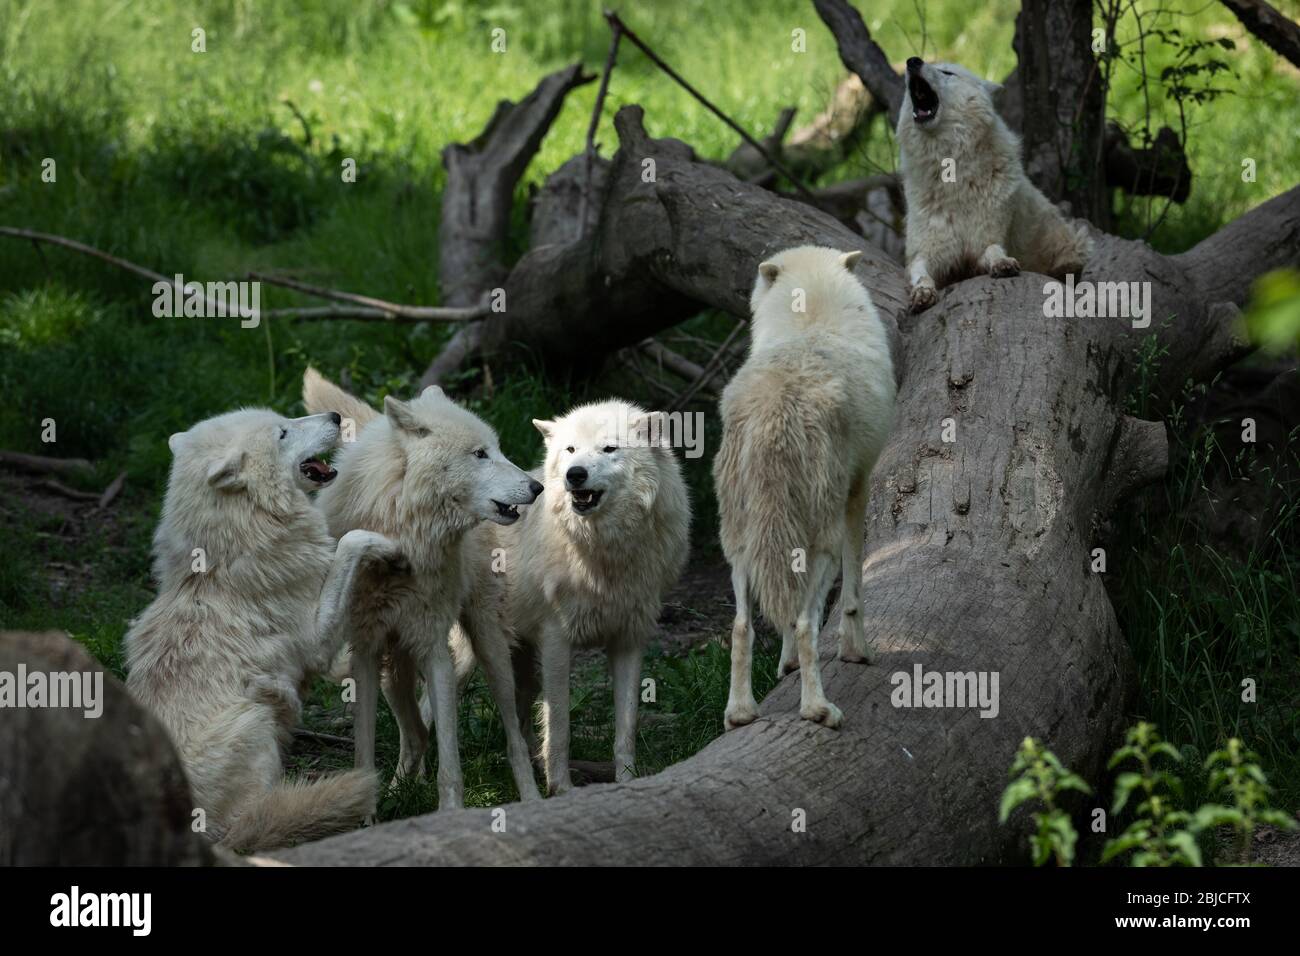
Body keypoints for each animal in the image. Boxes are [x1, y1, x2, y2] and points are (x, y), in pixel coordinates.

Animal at [125, 407, 397, 852]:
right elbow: (350, 542)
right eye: (283, 432)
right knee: (248, 827)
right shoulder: (316, 643)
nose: (336, 416)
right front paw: (390, 546)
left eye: (286, 418)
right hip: (254, 719)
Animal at [302, 369, 543, 808]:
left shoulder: (434, 648)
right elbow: (364, 753)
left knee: (512, 736)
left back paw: (532, 798)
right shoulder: (365, 654)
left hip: (488, 643)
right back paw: (401, 789)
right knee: (414, 733)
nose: (536, 487)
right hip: (392, 670)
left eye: (498, 449)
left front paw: (450, 811)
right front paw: (368, 813)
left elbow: (451, 760)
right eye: (480, 454)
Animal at [714, 246, 895, 730]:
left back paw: (739, 713)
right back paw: (818, 709)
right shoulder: (859, 489)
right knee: (804, 621)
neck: (811, 316)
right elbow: (853, 591)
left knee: (743, 625)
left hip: (741, 543)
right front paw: (857, 651)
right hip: (819, 539)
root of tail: (776, 409)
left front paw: (786, 664)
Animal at [897, 57, 1093, 313]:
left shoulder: (984, 242)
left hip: (1074, 243)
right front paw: (922, 293)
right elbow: (919, 272)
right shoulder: (925, 252)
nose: (912, 62)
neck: (953, 178)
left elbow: (993, 249)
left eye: (947, 73)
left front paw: (1002, 263)